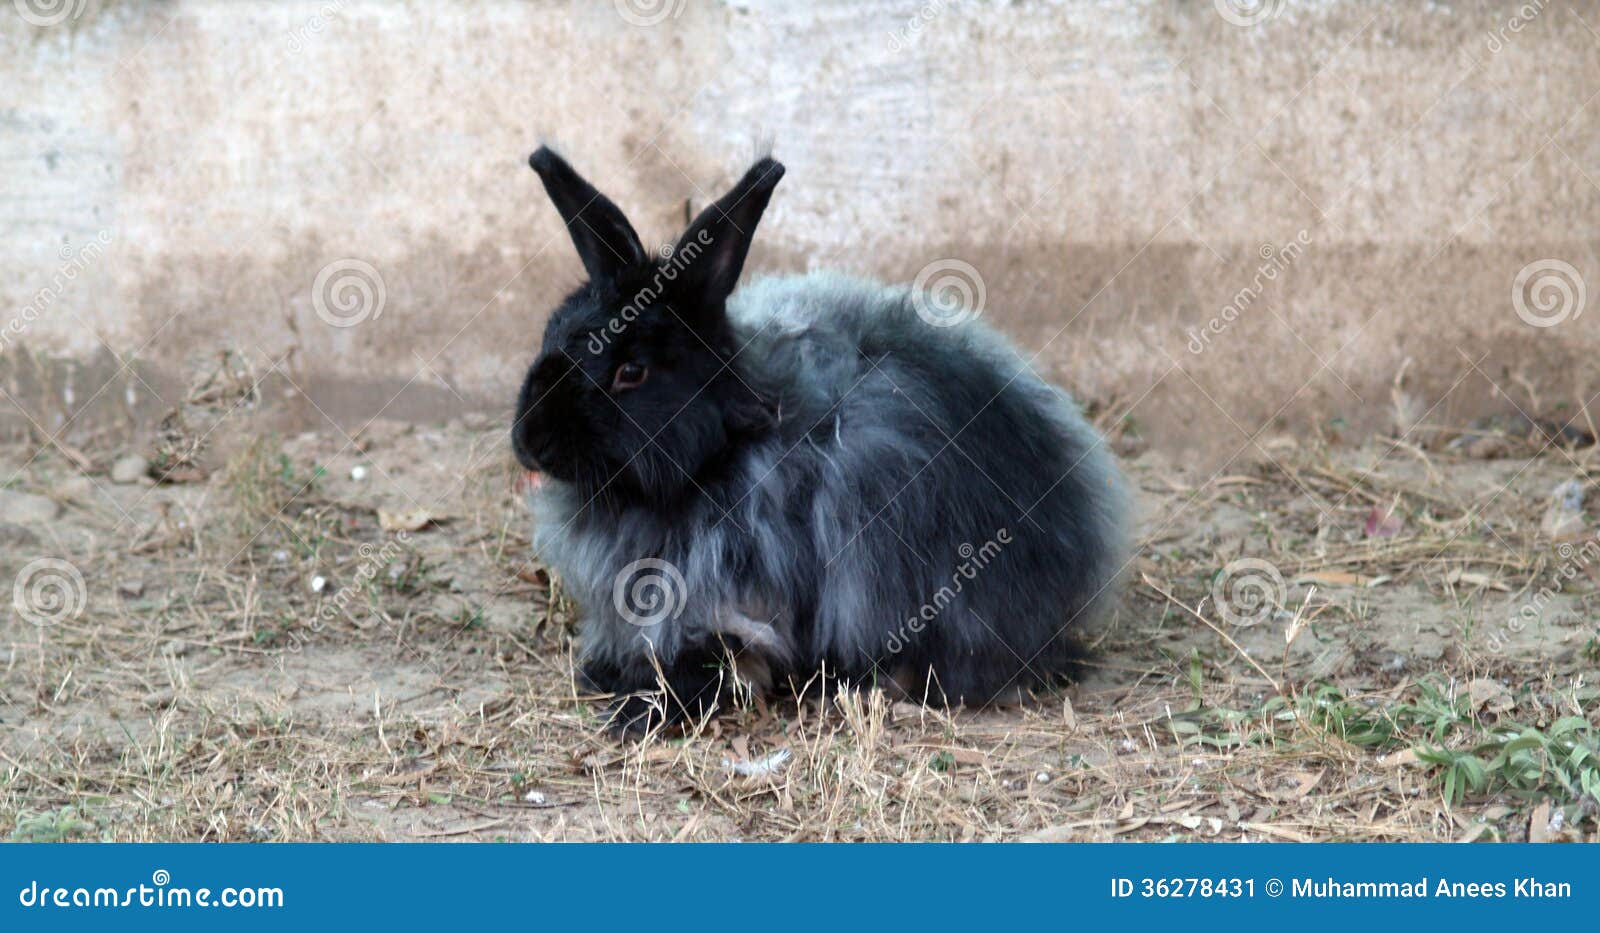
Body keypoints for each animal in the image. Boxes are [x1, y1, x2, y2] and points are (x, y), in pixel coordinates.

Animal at [514, 146, 1130, 735]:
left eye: (631, 372)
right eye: (549, 334)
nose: (528, 441)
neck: (720, 453)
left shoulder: (732, 598)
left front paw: (640, 714)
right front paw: (603, 676)